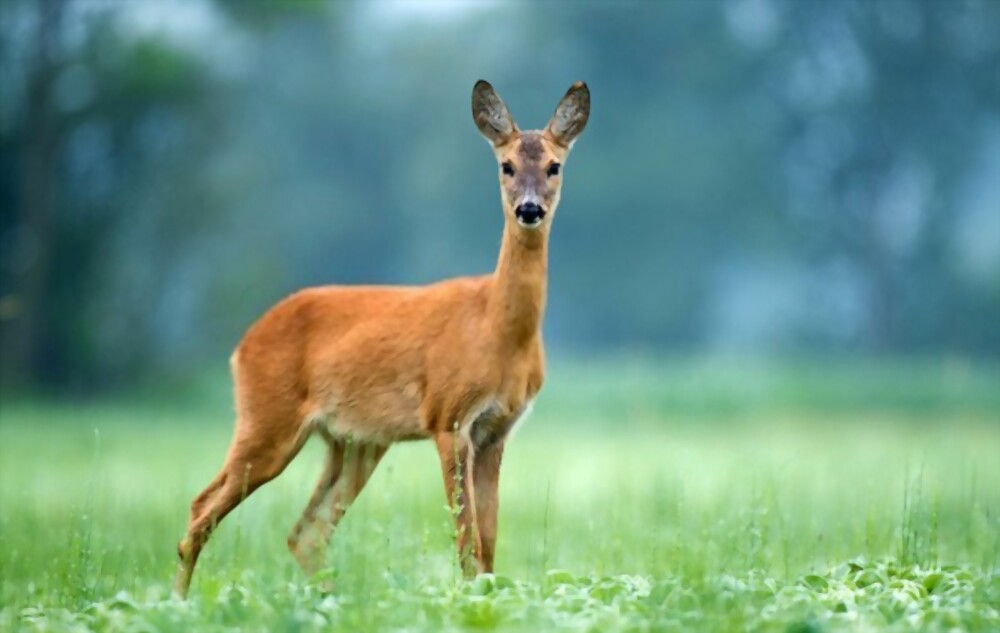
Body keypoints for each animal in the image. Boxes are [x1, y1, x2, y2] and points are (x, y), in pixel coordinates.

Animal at [173, 80, 590, 598]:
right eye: (506, 165)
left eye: (555, 165)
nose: (529, 209)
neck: (498, 331)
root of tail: (242, 345)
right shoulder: (449, 417)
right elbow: (466, 539)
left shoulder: (497, 430)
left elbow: (489, 544)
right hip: (267, 420)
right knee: (202, 509)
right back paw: (177, 603)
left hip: (353, 441)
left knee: (305, 532)